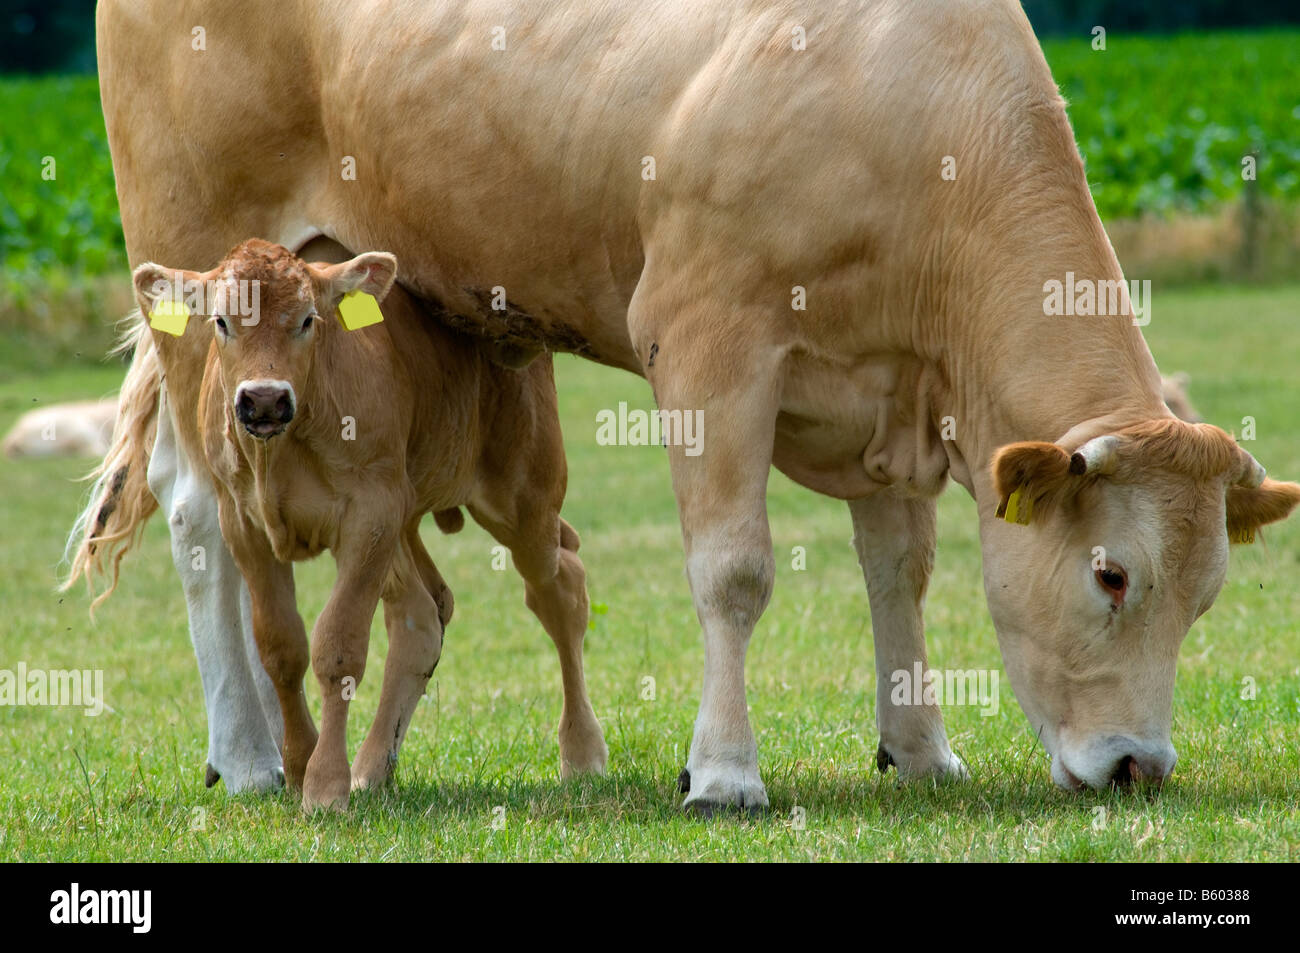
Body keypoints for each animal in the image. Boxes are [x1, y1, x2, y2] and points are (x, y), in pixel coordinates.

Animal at [75, 0, 1300, 810]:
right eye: (1111, 575)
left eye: (1207, 597)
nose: (1137, 766)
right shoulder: (712, 342)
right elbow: (733, 571)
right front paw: (721, 769)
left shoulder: (888, 388)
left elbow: (898, 569)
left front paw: (918, 747)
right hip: (191, 281)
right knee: (200, 514)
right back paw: (246, 753)